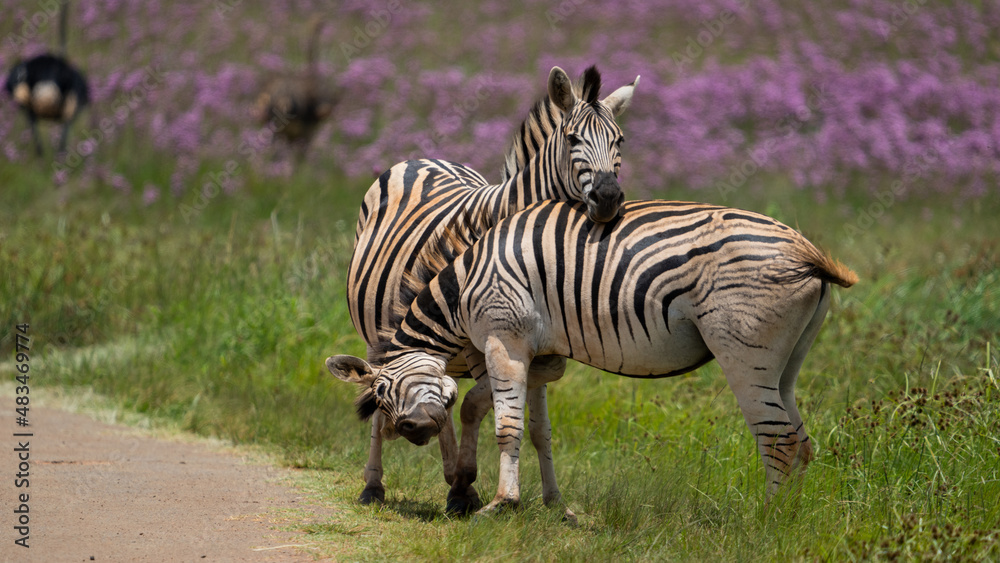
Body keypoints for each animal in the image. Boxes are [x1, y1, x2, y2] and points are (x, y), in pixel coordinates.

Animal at [329, 199, 857, 518]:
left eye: (383, 391)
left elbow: (505, 424)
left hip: (745, 352)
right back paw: (789, 522)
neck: (461, 288)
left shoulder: (505, 338)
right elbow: (525, 423)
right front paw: (530, 501)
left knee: (779, 440)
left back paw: (764, 522)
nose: (414, 430)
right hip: (786, 362)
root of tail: (805, 249)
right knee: (801, 441)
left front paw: (499, 503)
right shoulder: (542, 355)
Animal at [346, 66, 639, 513]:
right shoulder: (482, 335)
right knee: (391, 400)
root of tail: (425, 159)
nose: (608, 198)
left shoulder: (540, 344)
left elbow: (535, 427)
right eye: (573, 139)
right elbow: (473, 406)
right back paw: (376, 485)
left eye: (620, 140)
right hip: (382, 334)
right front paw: (465, 485)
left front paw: (556, 503)